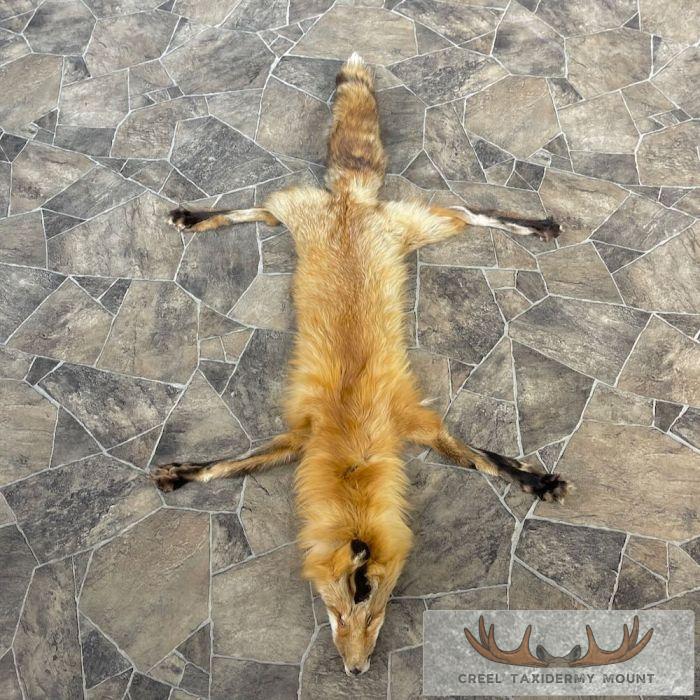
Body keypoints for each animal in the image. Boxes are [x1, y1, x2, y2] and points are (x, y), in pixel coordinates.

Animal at [152, 53, 569, 676]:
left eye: (373, 616)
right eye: (338, 612)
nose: (356, 670)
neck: (352, 442)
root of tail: (350, 200)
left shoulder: (412, 422)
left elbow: (485, 460)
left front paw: (535, 480)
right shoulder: (303, 434)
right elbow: (228, 465)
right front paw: (182, 474)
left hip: (414, 226)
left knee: (468, 211)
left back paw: (536, 224)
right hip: (309, 218)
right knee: (260, 207)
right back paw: (195, 214)